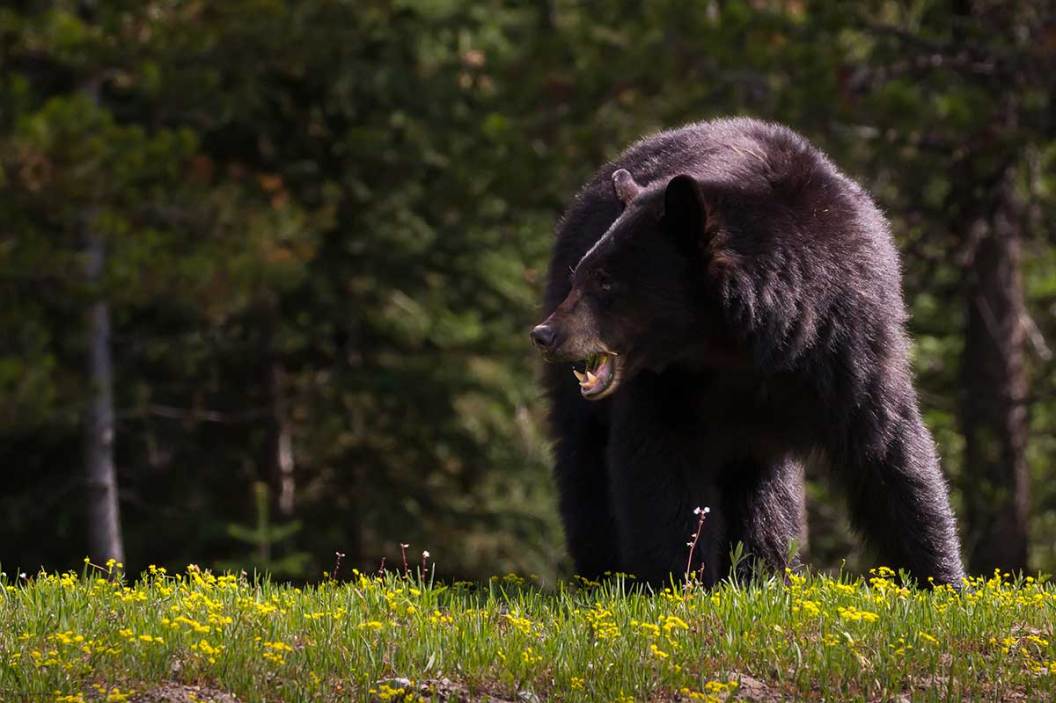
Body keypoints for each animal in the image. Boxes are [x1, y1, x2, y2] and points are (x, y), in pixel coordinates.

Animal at [531, 117, 965, 588]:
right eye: (583, 273)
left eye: (606, 280)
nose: (546, 334)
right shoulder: (669, 382)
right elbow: (660, 464)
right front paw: (678, 580)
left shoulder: (848, 343)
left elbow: (890, 450)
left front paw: (943, 580)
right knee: (585, 460)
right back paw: (603, 572)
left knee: (765, 494)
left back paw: (766, 569)